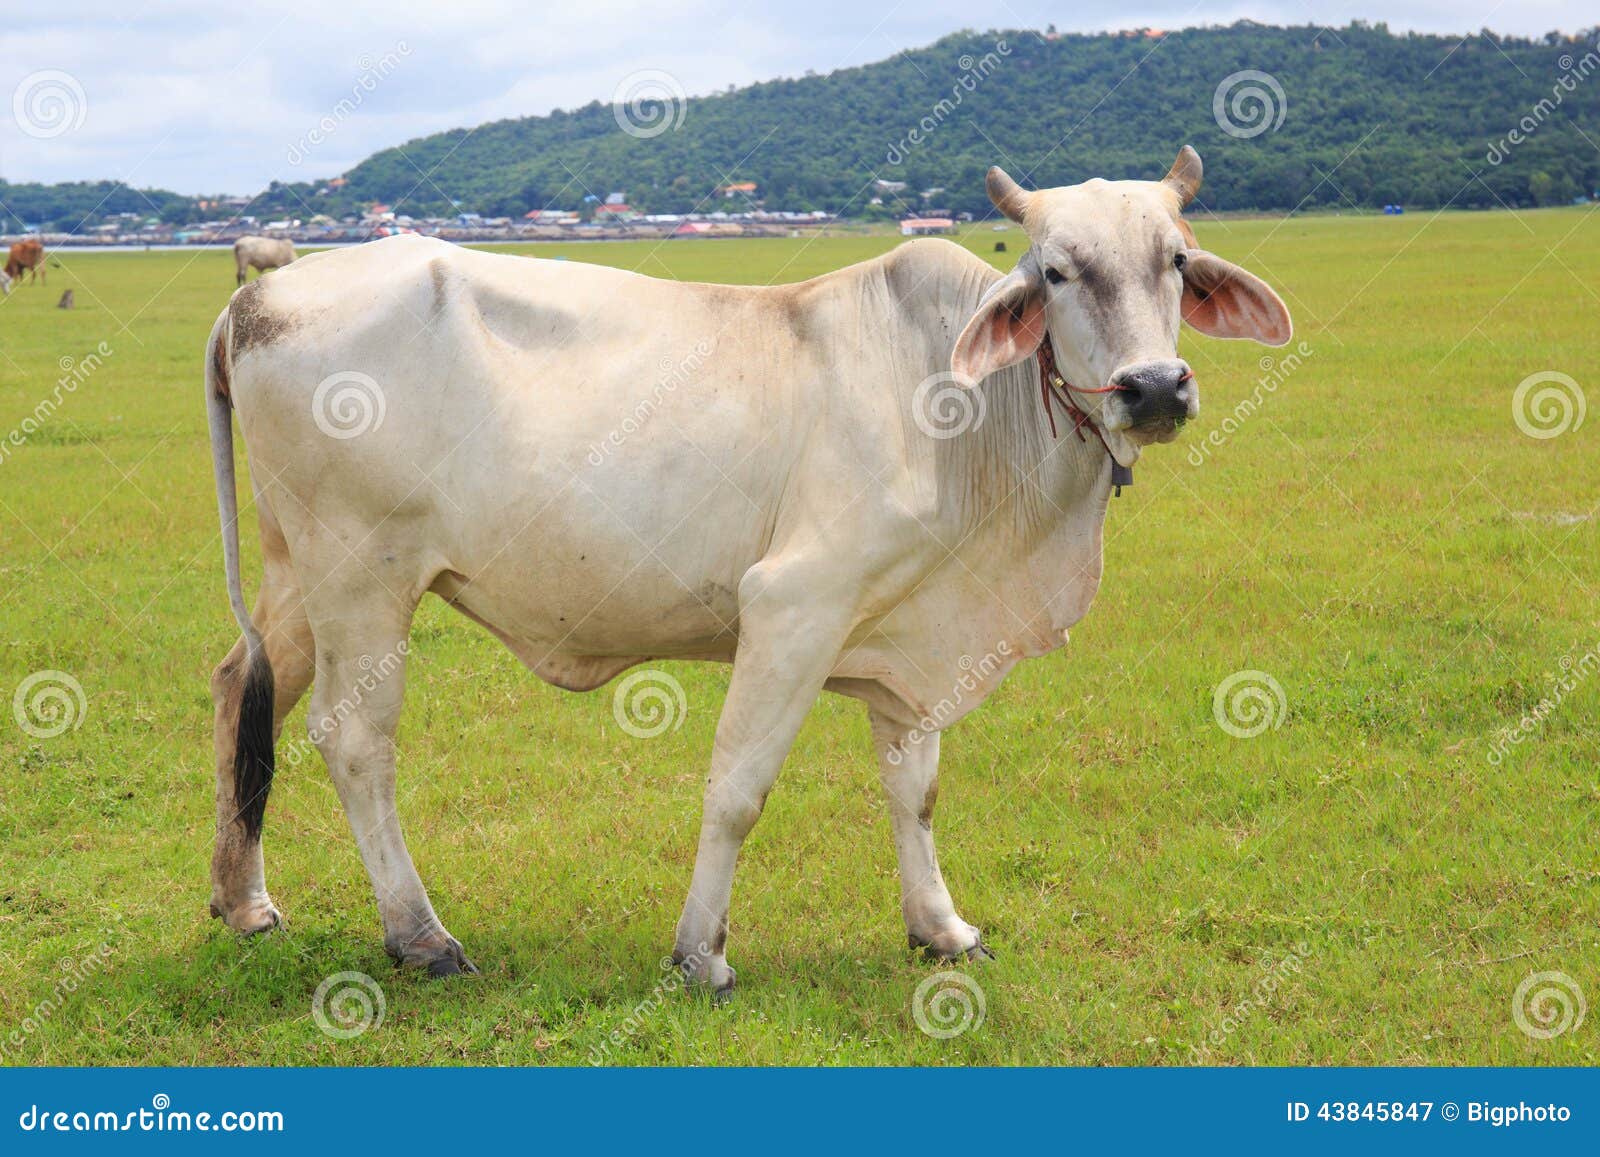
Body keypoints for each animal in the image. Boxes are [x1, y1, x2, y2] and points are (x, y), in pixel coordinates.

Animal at [204, 147, 1291, 991]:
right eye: (1058, 272)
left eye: (1175, 260)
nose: (1154, 387)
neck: (960, 412)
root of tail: (256, 295)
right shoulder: (795, 604)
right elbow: (738, 787)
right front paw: (700, 954)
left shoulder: (907, 638)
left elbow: (915, 789)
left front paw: (941, 927)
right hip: (365, 577)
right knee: (353, 741)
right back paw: (420, 936)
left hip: (297, 577)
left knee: (242, 688)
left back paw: (244, 900)